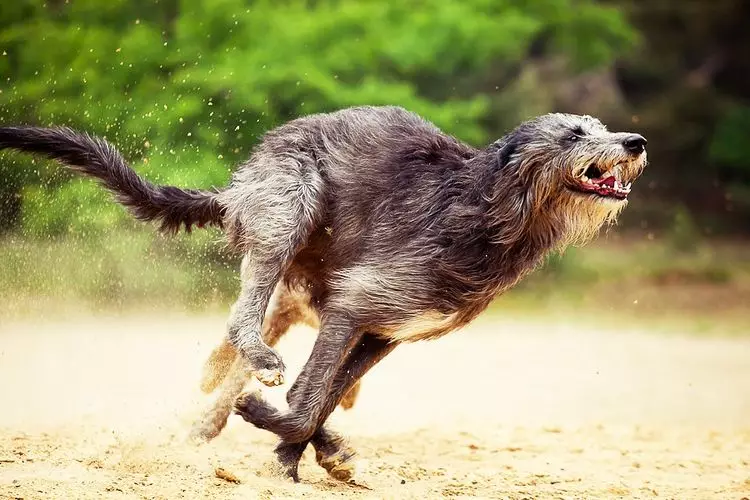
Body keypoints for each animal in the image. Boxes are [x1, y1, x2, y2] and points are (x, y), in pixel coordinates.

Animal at [0, 104, 648, 480]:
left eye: (601, 128)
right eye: (573, 134)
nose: (636, 141)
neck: (487, 211)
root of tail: (240, 181)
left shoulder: (384, 331)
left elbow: (321, 398)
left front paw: (295, 454)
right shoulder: (356, 304)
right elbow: (307, 398)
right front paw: (282, 442)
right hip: (289, 205)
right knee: (245, 316)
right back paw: (256, 372)